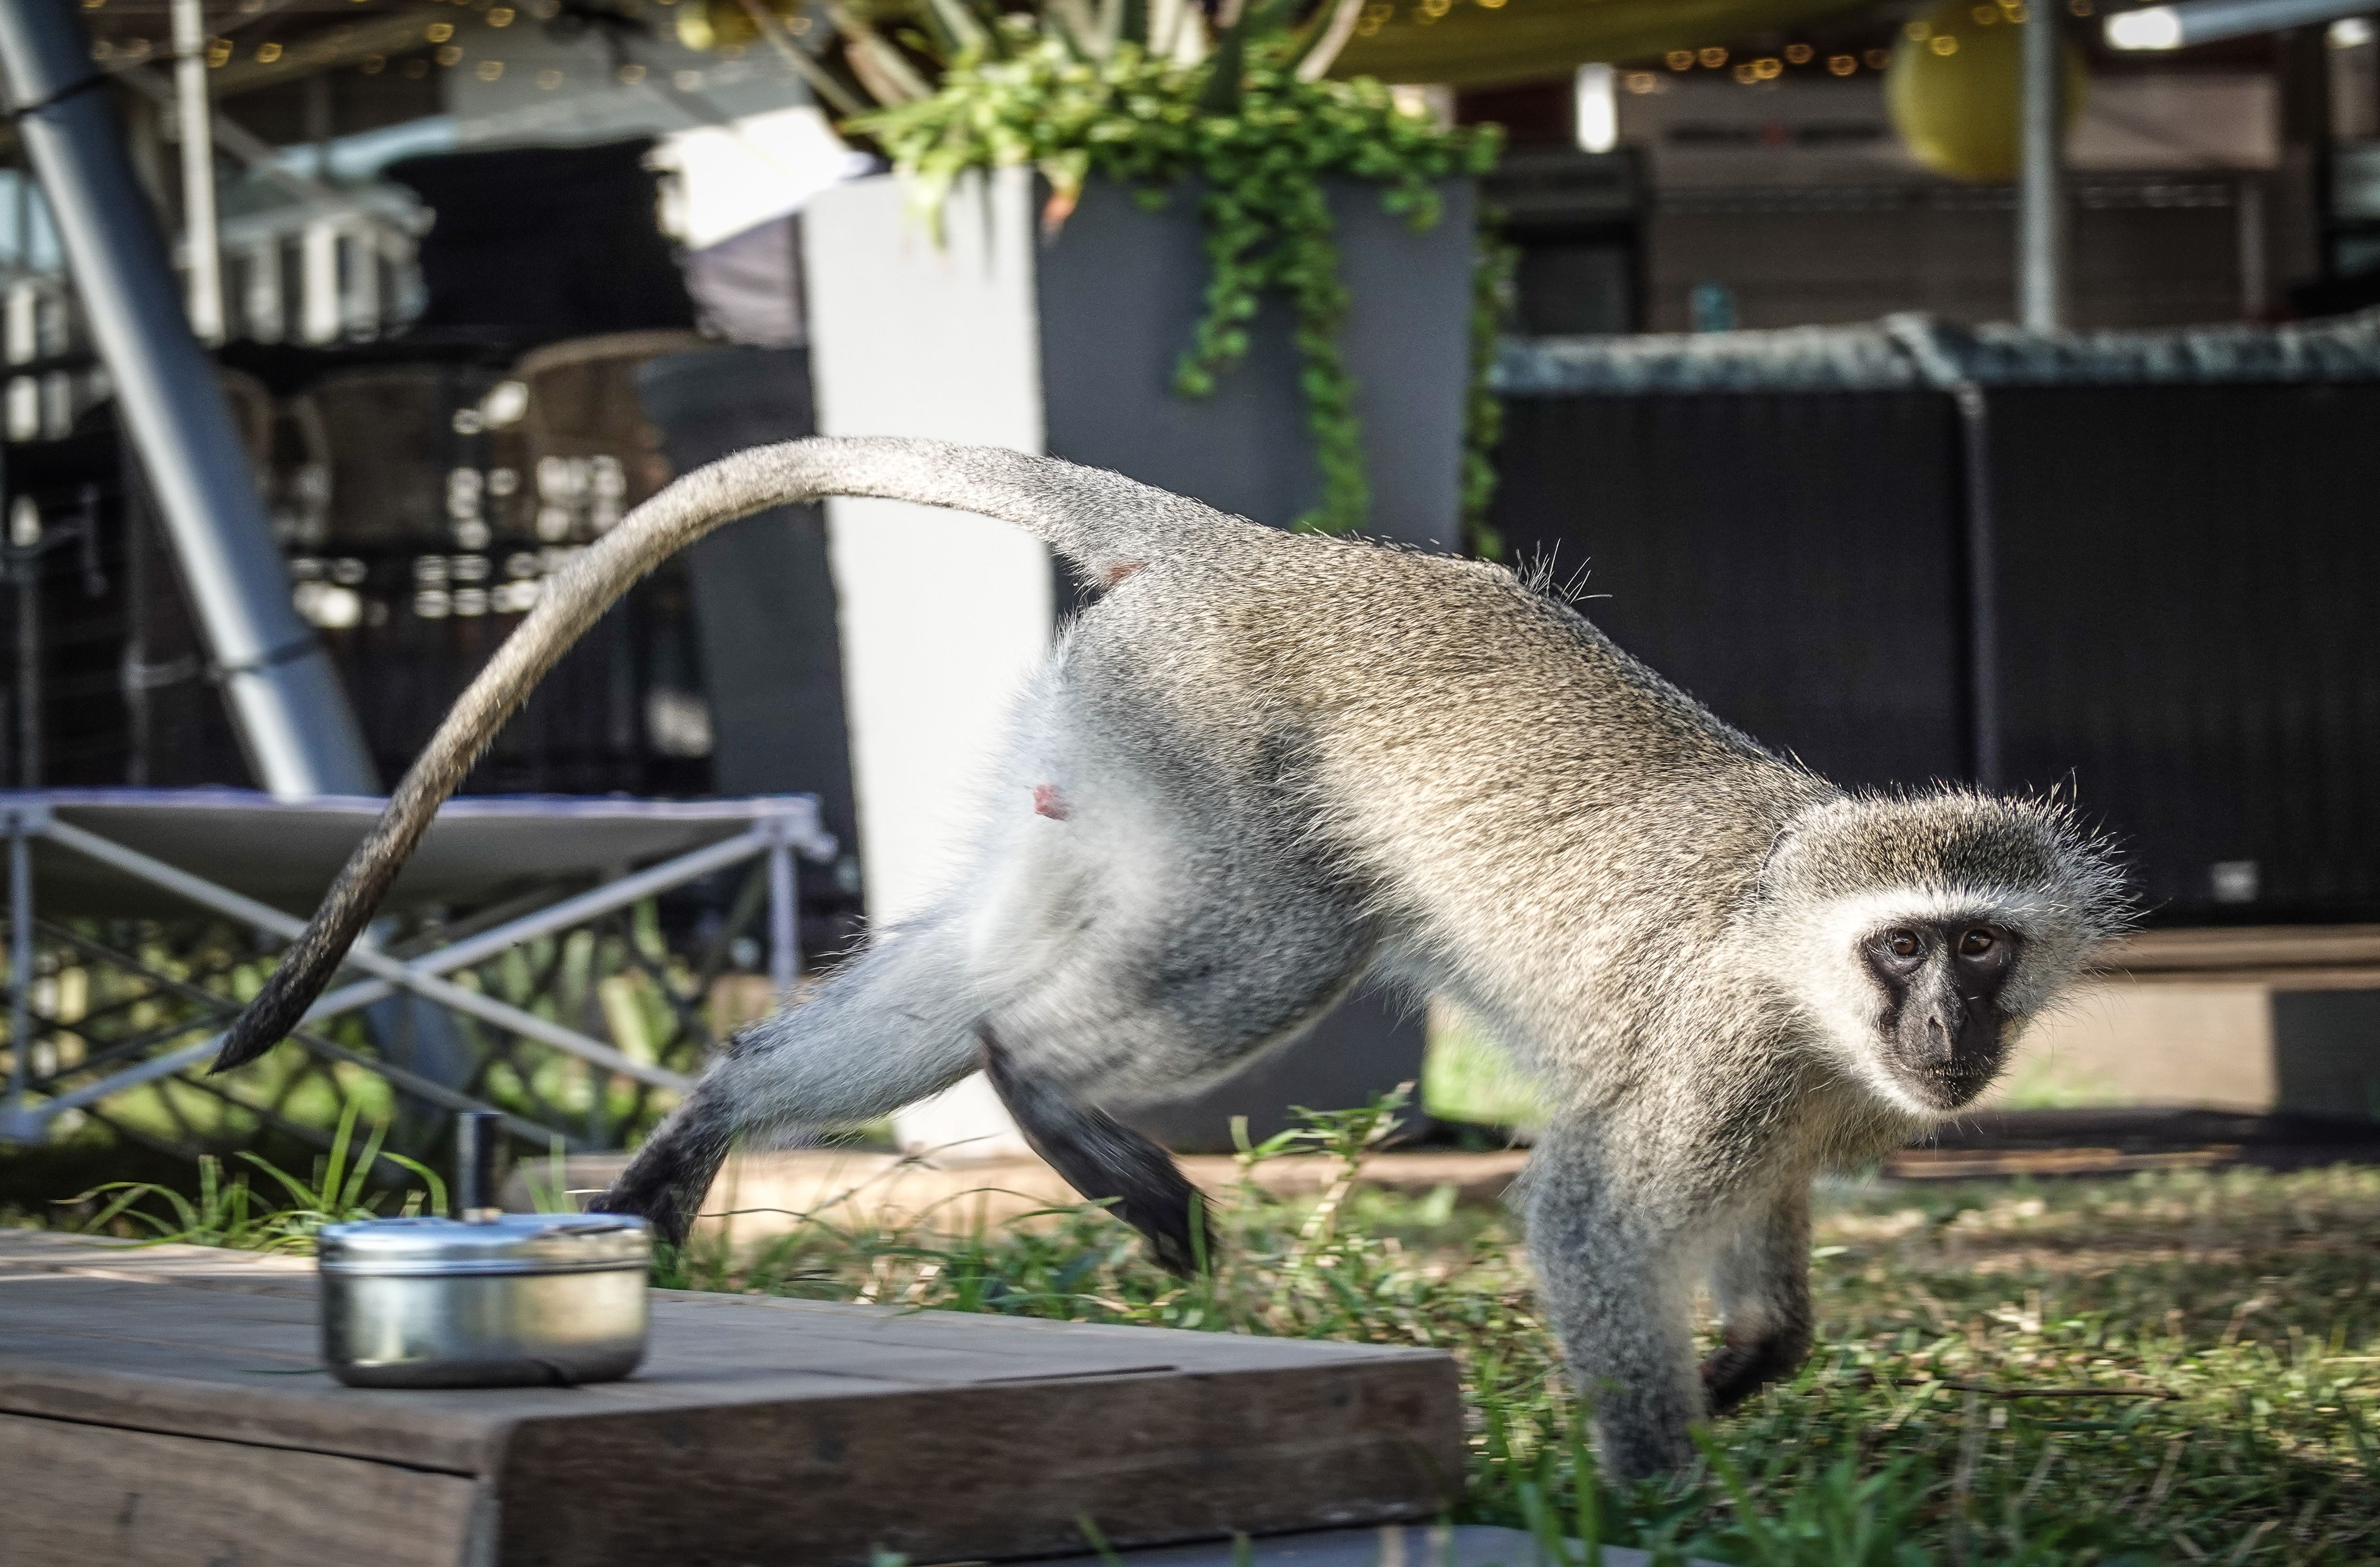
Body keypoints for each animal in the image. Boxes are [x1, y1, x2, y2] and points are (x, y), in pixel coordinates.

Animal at [214, 436, 2129, 1478]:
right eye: (1906, 950)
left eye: (1980, 949)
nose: (1947, 1025)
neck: (1810, 988)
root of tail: (1272, 557)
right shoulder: (1725, 1051)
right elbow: (1590, 1210)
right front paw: (1660, 1496)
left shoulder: (1800, 1114)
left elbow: (1758, 1252)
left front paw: (1742, 1359)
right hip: (1213, 759)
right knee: (1224, 960)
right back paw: (1046, 1095)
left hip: (1110, 743)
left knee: (964, 973)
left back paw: (707, 1126)